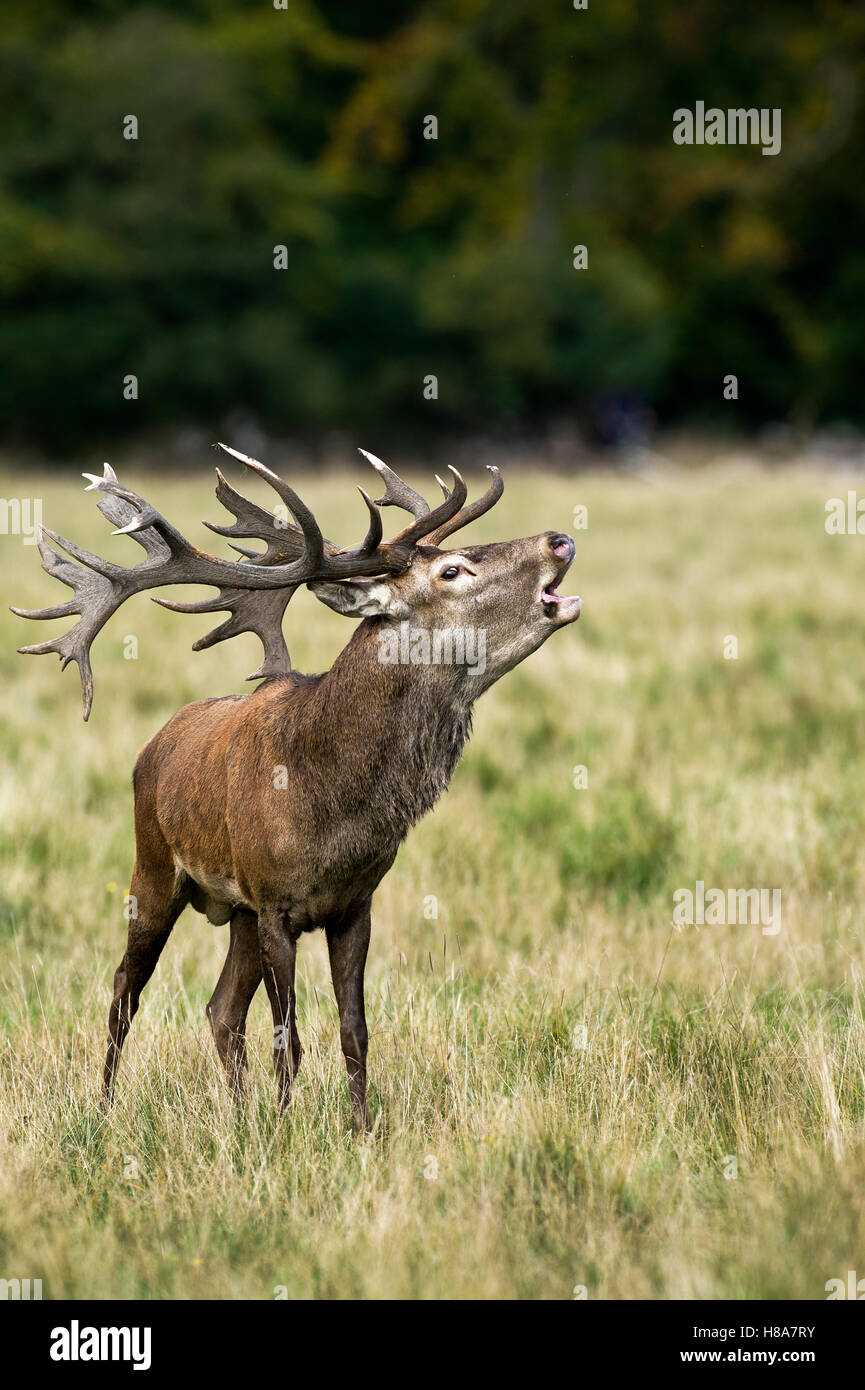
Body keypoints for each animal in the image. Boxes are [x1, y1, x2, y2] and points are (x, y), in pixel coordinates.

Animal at [13, 447, 581, 1130]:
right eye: (452, 570)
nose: (560, 539)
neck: (332, 804)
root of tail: (153, 746)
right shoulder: (276, 905)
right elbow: (288, 1038)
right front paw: (288, 1134)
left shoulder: (353, 905)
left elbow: (353, 1032)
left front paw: (359, 1131)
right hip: (154, 868)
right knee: (126, 986)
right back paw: (103, 1107)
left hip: (236, 911)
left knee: (221, 1009)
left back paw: (241, 1115)